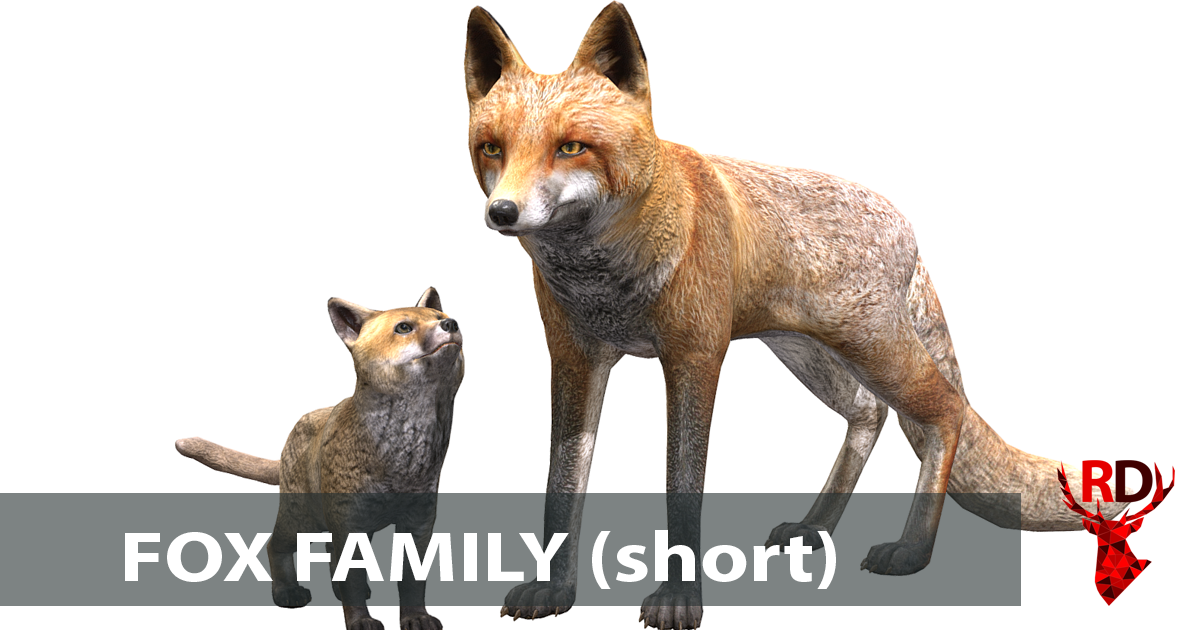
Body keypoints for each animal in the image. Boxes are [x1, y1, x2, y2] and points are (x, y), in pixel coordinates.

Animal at [175, 288, 463, 630]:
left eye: (439, 317)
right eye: (404, 327)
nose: (451, 323)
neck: (403, 461)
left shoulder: (418, 521)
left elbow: (411, 581)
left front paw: (416, 617)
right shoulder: (350, 519)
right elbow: (353, 578)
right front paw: (361, 621)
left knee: (330, 551)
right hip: (303, 516)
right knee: (277, 544)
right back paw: (287, 593)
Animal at [465, 3, 1130, 628]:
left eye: (571, 147)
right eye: (493, 148)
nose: (502, 212)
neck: (606, 277)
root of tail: (906, 222)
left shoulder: (696, 358)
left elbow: (683, 489)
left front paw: (680, 600)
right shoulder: (574, 358)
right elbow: (561, 484)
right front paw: (554, 590)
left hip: (871, 348)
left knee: (945, 410)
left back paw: (912, 551)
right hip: (809, 356)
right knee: (869, 414)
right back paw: (817, 527)